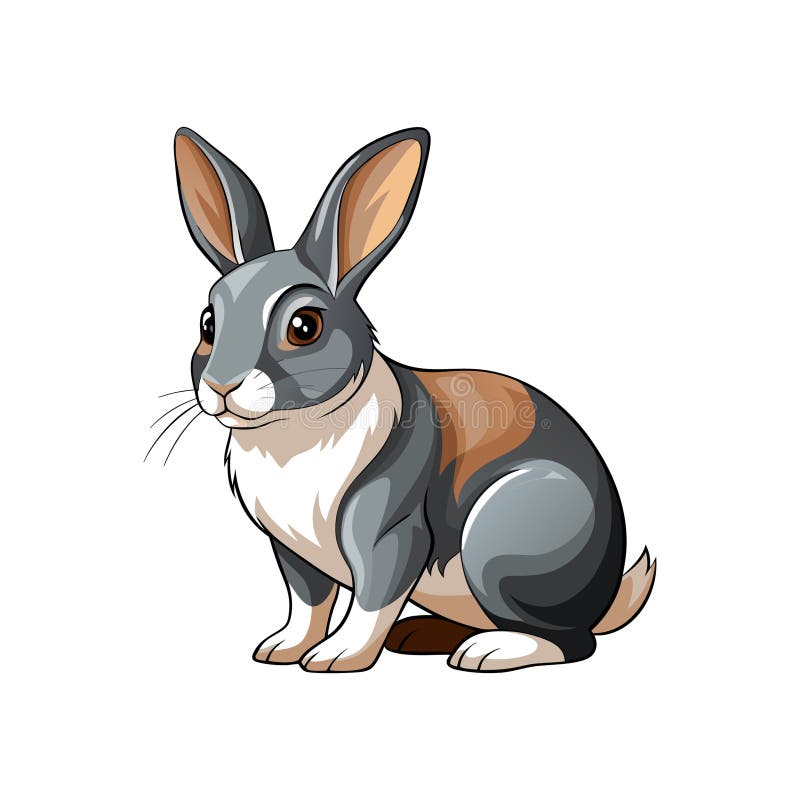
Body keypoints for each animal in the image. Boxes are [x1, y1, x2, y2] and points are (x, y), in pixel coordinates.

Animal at [170, 126, 656, 672]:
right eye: (208, 324)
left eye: (304, 327)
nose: (221, 387)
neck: (297, 430)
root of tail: (608, 593)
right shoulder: (290, 550)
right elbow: (307, 601)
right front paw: (281, 649)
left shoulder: (389, 533)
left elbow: (371, 600)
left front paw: (336, 657)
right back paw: (423, 636)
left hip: (499, 536)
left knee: (571, 642)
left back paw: (487, 652)